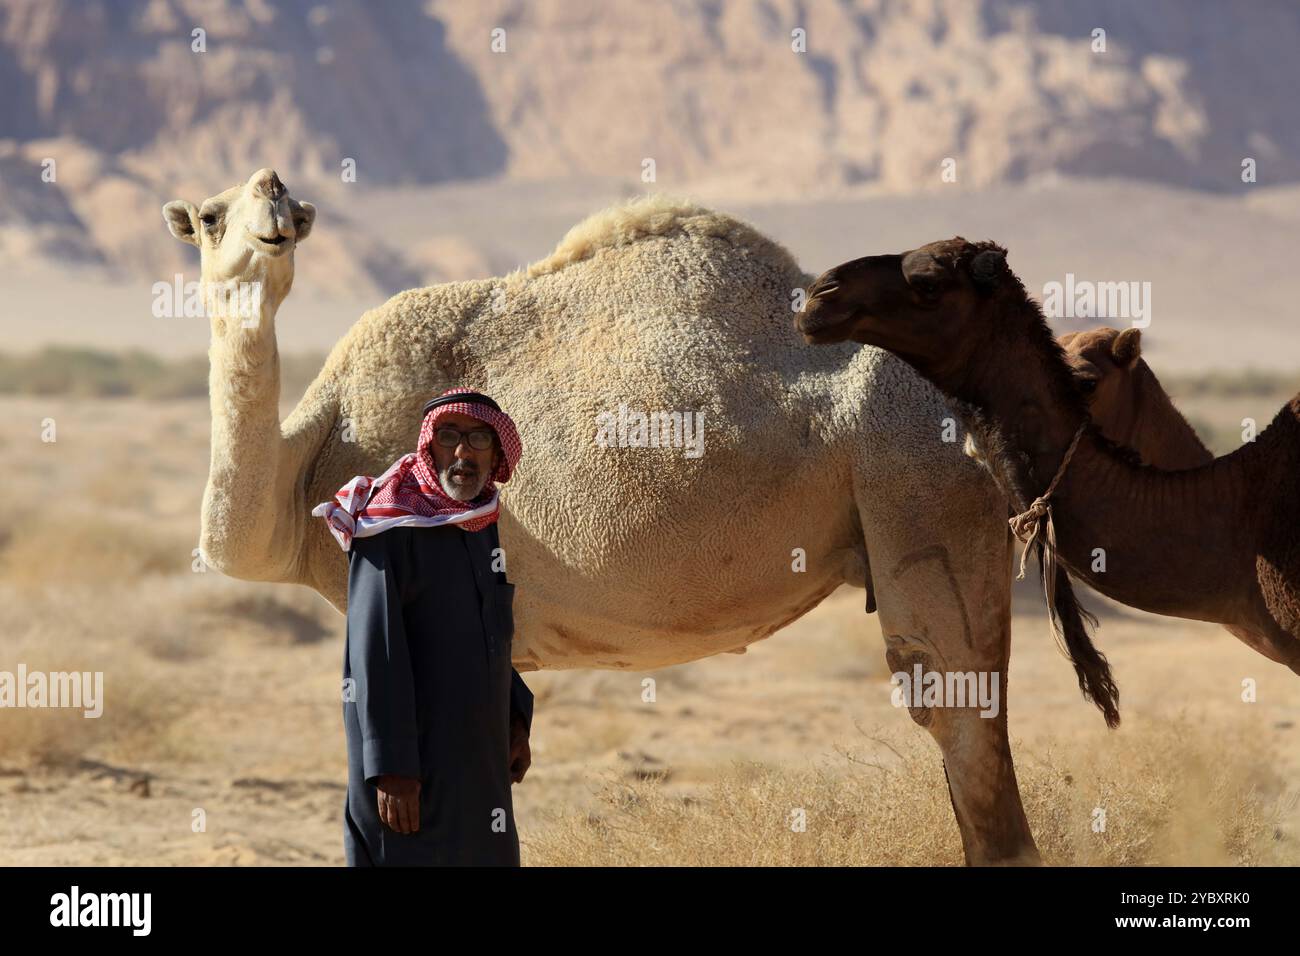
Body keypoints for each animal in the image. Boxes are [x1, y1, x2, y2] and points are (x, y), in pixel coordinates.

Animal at [166, 171, 1058, 865]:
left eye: (290, 206)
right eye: (210, 215)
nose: (274, 201)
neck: (307, 463)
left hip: (917, 486)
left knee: (954, 709)